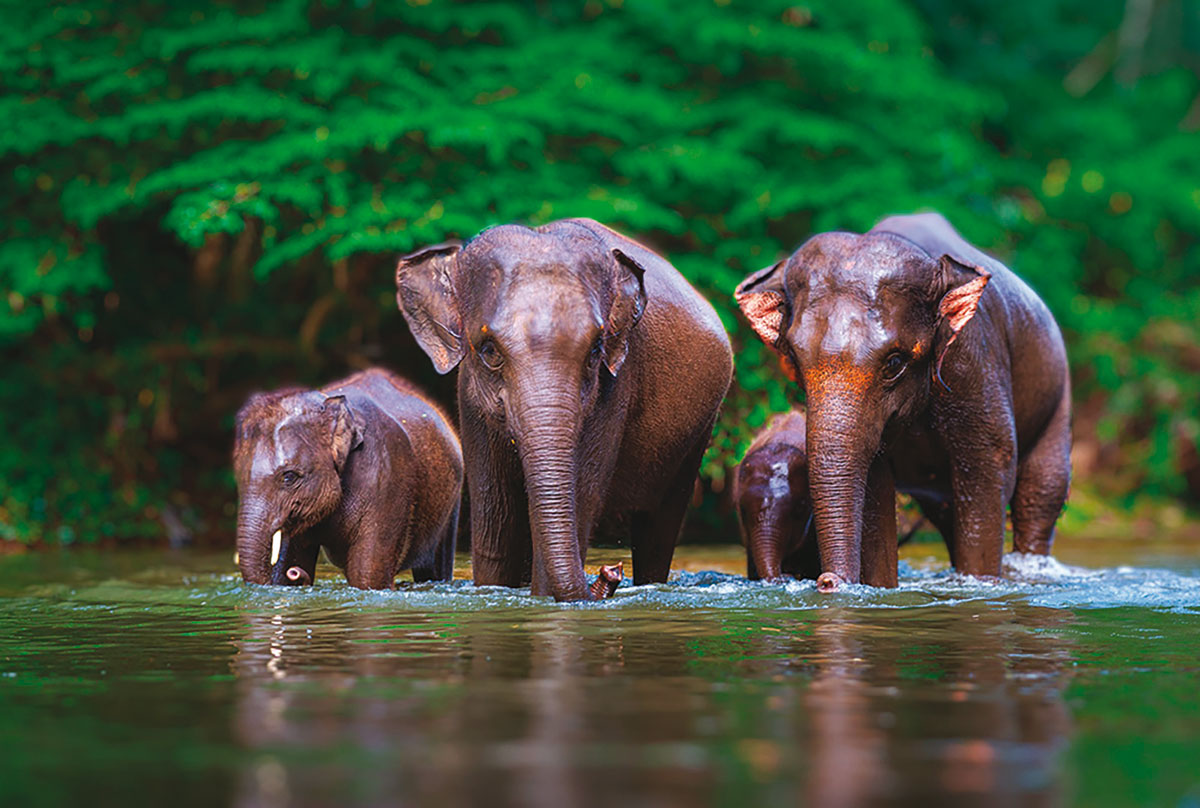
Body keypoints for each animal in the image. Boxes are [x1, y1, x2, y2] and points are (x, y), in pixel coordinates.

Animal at [396, 218, 733, 601]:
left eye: (596, 350)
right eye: (489, 351)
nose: (611, 571)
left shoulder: (614, 389)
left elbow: (580, 497)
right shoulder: (469, 397)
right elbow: (496, 517)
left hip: (699, 434)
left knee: (659, 526)